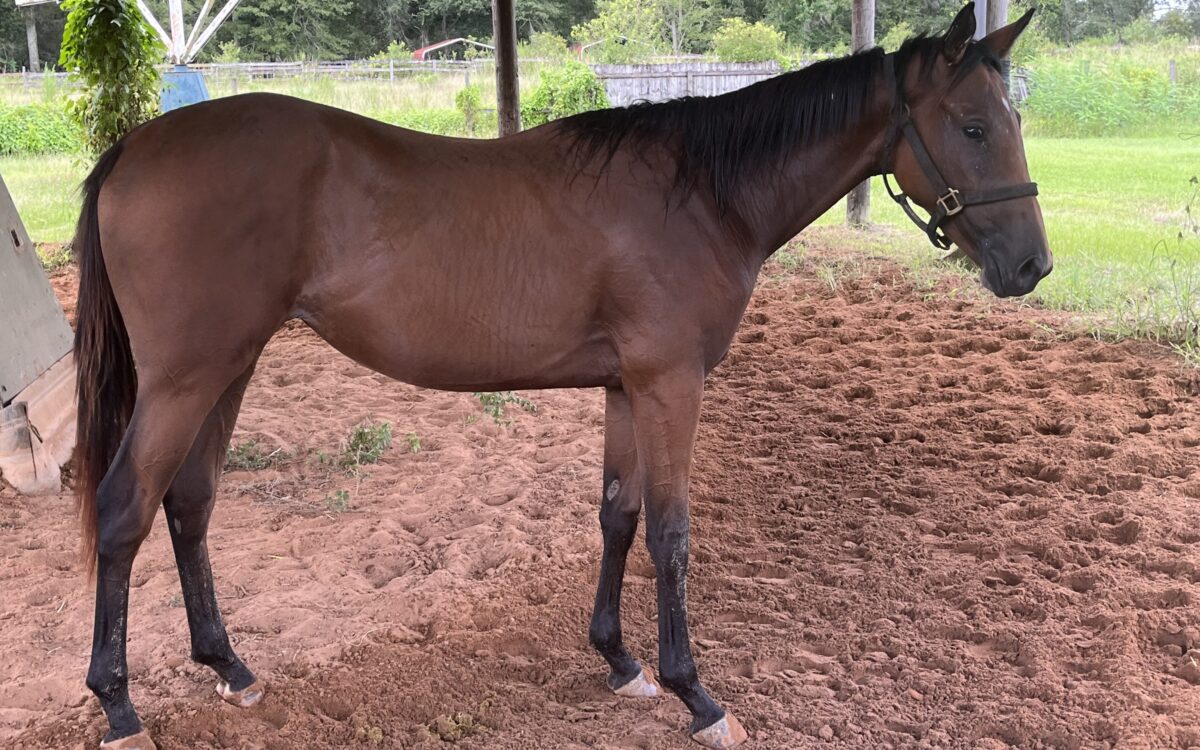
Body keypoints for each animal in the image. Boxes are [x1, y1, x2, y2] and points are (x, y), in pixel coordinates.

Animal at [72, 5, 1048, 748]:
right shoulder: (671, 383)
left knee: (189, 504)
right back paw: (119, 707)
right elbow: (671, 535)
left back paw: (230, 667)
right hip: (185, 379)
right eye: (972, 127)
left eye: (1013, 122)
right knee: (124, 512)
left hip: (229, 369)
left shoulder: (626, 387)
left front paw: (619, 661)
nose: (1032, 266)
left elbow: (617, 517)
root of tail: (135, 146)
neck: (702, 194)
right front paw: (697, 694)